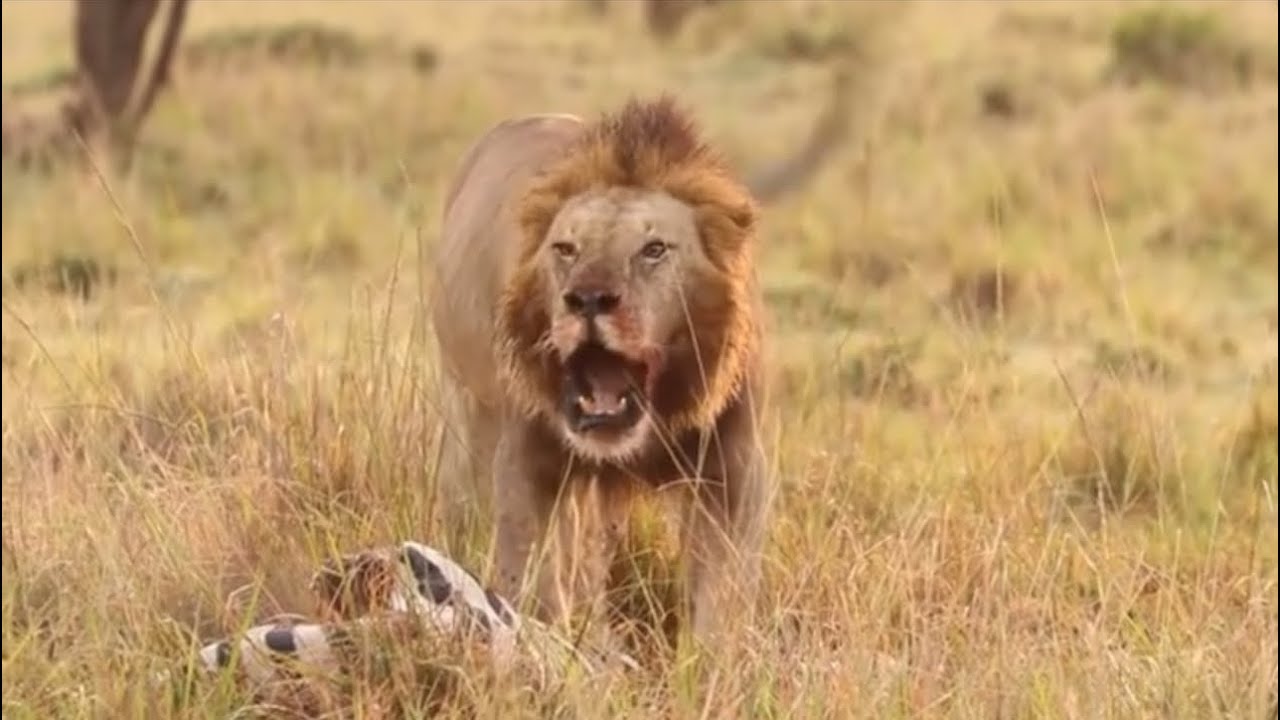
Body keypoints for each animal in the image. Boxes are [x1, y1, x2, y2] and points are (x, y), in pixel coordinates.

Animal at [429, 78, 850, 648]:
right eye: (565, 248)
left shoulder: (735, 470)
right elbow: (530, 579)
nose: (587, 299)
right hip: (468, 410)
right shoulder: (526, 458)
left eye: (653, 249)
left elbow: (722, 603)